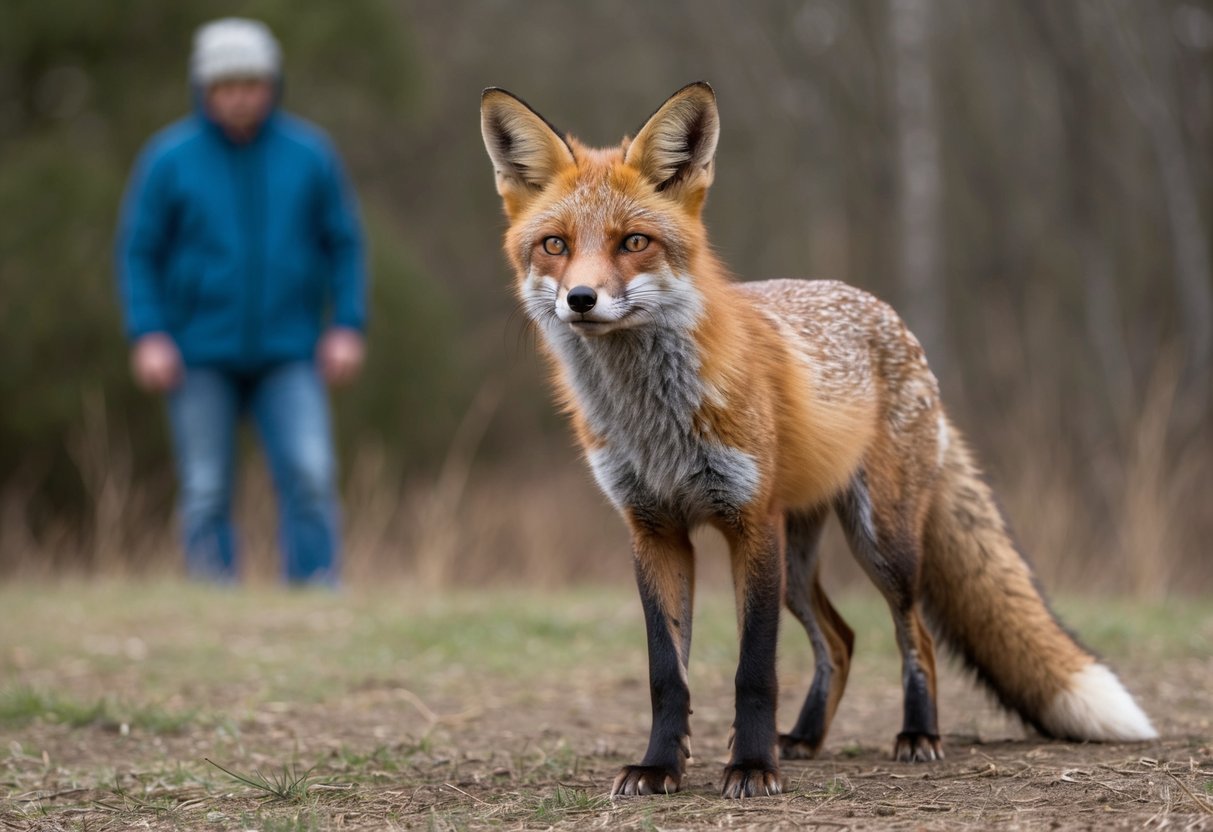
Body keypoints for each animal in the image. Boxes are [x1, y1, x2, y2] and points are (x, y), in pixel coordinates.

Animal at [478, 81, 1156, 800]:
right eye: (554, 245)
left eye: (633, 241)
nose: (580, 299)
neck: (654, 422)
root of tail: (892, 318)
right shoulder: (653, 529)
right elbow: (667, 675)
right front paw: (661, 766)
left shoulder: (749, 523)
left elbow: (754, 669)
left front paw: (750, 767)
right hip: (797, 562)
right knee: (841, 638)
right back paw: (804, 737)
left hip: (879, 543)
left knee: (913, 633)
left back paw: (917, 735)